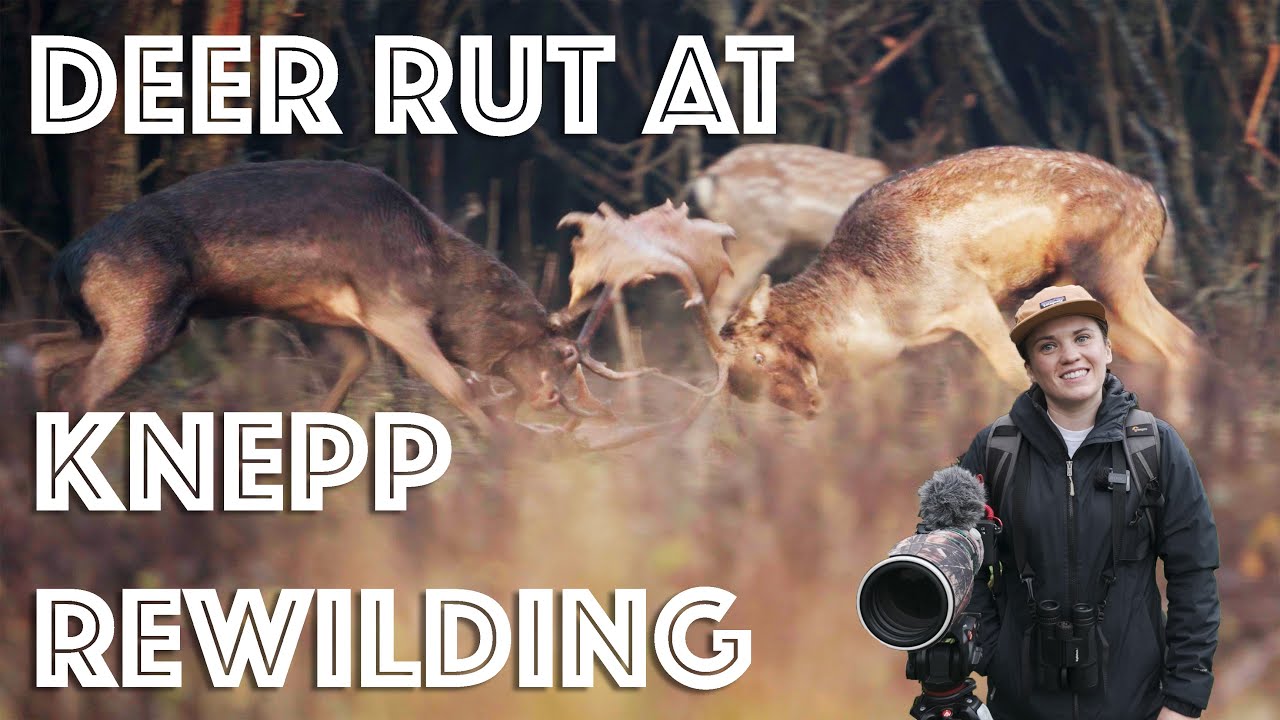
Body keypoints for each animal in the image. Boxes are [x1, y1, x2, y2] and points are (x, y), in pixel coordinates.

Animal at [27, 160, 701, 450]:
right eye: (562, 355)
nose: (554, 400)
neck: (437, 276)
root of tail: (64, 263)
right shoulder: (391, 310)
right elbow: (458, 388)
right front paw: (509, 445)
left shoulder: (327, 313)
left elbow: (352, 366)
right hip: (144, 312)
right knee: (78, 390)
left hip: (116, 321)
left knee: (38, 349)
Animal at [717, 146, 1200, 426]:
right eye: (733, 381)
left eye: (758, 356)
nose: (809, 408)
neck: (882, 315)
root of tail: (1157, 203)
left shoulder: (970, 296)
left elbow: (1011, 375)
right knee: (1153, 354)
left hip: (1112, 267)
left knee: (1181, 341)